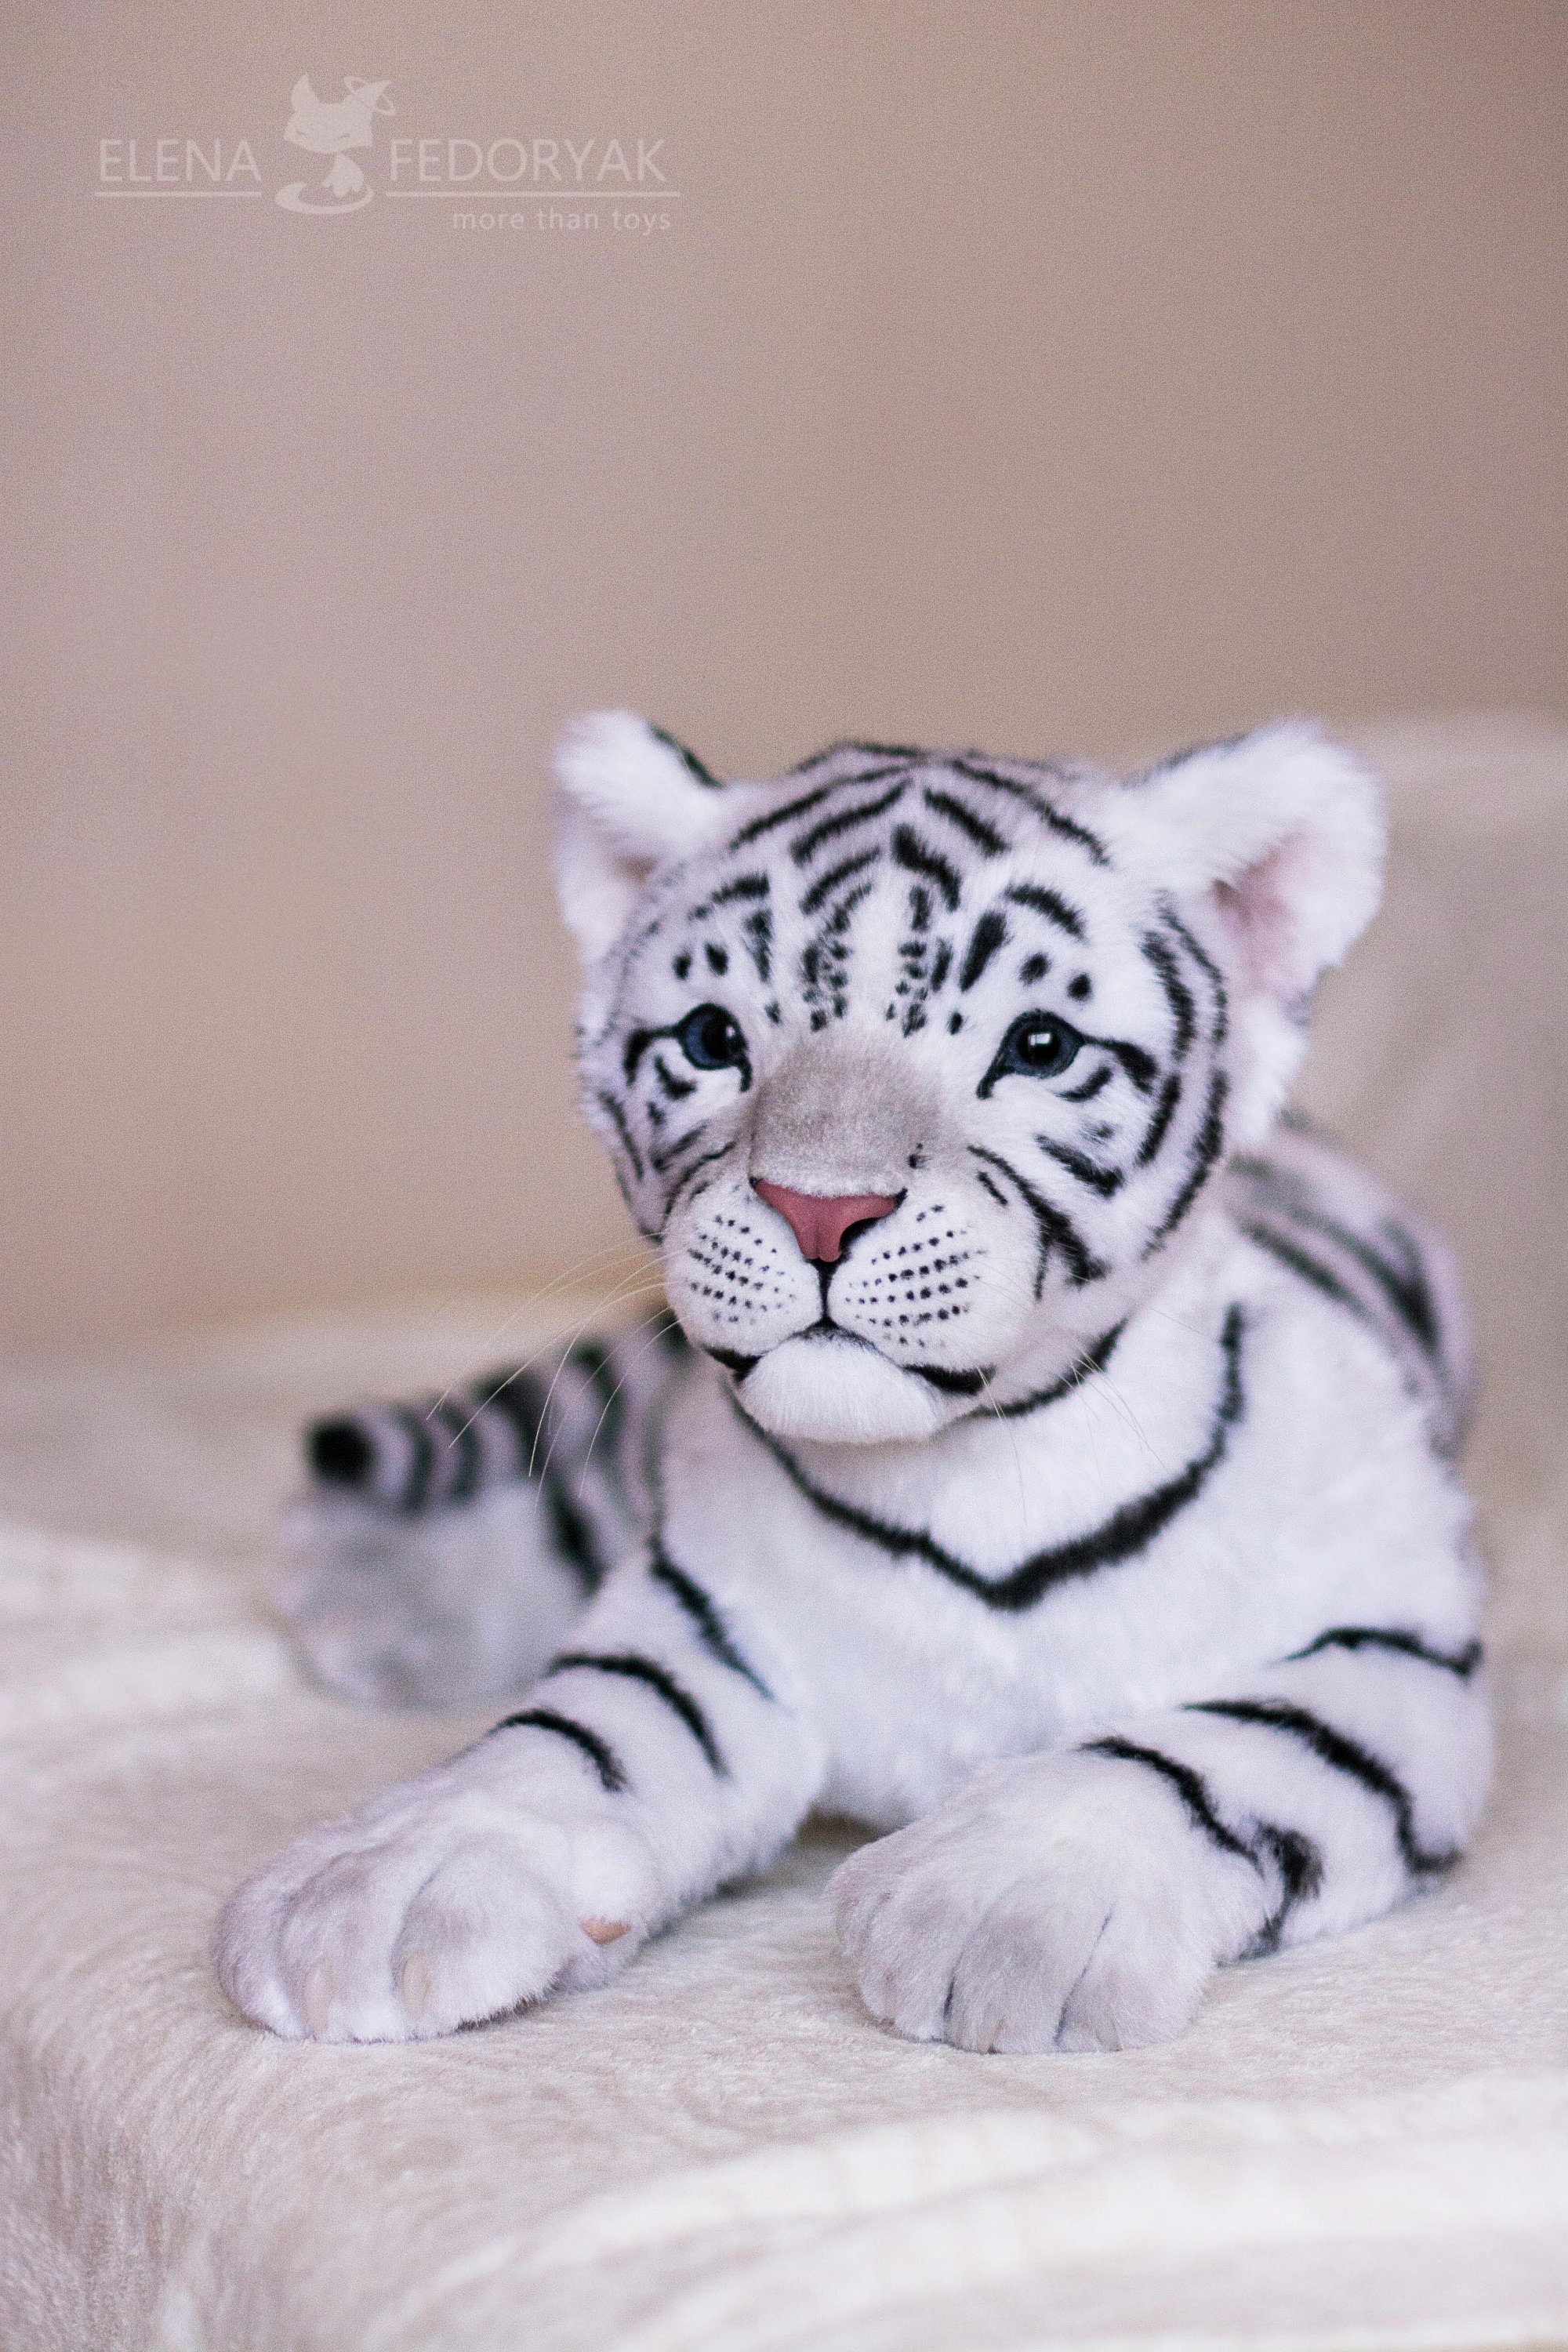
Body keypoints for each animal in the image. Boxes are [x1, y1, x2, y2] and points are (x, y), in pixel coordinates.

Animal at [216, 712, 1488, 2055]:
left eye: (1038, 1047)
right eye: (714, 1041)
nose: (820, 1209)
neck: (966, 1467)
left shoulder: (1391, 1644)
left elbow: (1203, 1751)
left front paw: (1002, 1908)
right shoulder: (702, 1627)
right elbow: (574, 1733)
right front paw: (374, 1886)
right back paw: (381, 1591)